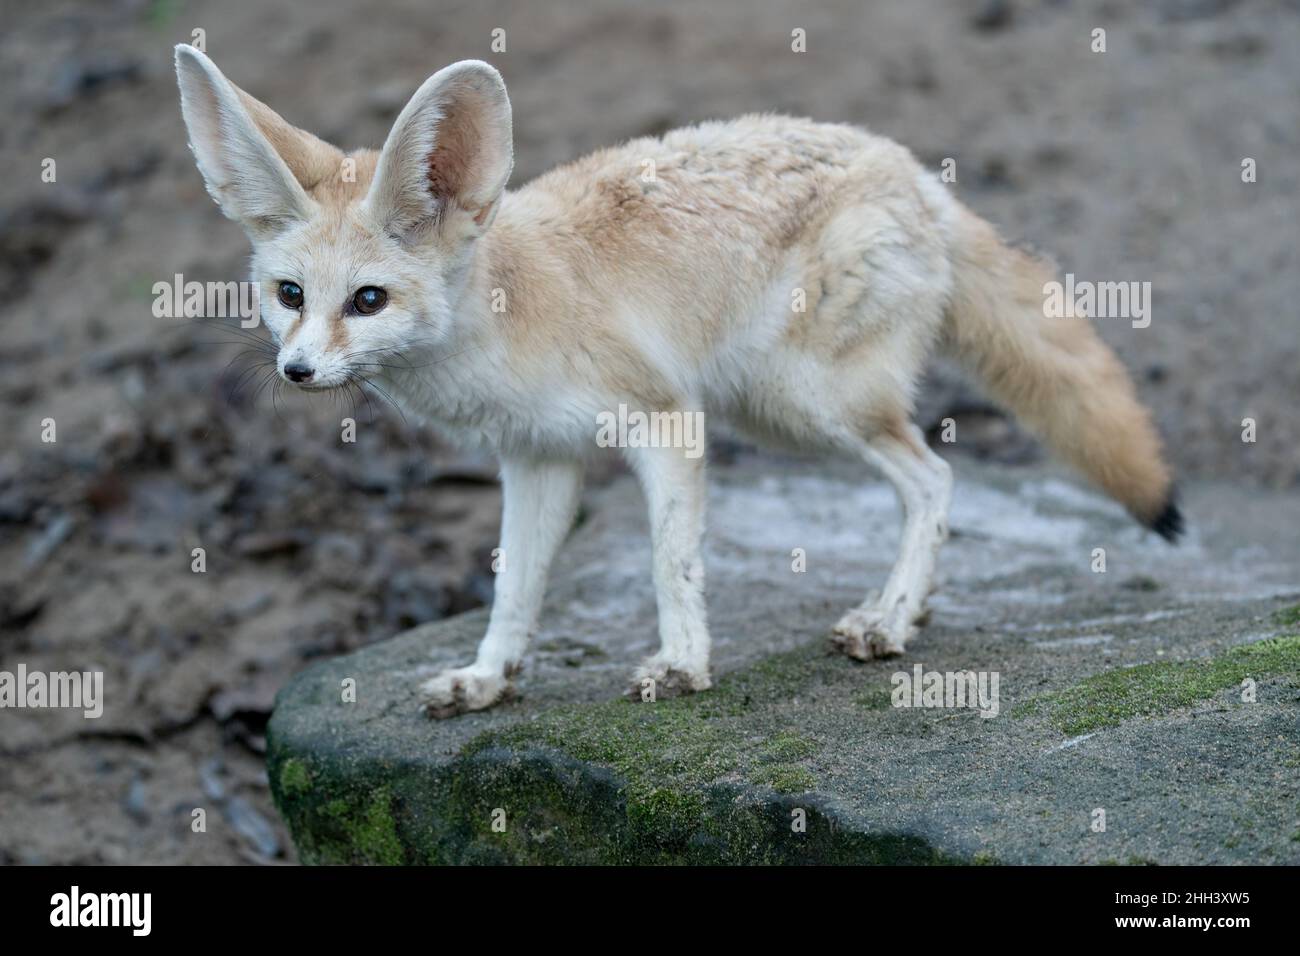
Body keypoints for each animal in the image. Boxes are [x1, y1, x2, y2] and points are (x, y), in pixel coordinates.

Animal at [173, 45, 1181, 718]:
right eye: (290, 295)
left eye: (369, 300)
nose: (298, 370)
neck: (507, 314)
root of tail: (909, 168)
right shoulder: (537, 460)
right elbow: (514, 590)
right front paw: (489, 678)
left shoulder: (665, 423)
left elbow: (670, 561)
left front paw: (683, 664)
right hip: (781, 410)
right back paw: (915, 606)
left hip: (804, 406)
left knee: (935, 479)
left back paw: (890, 617)